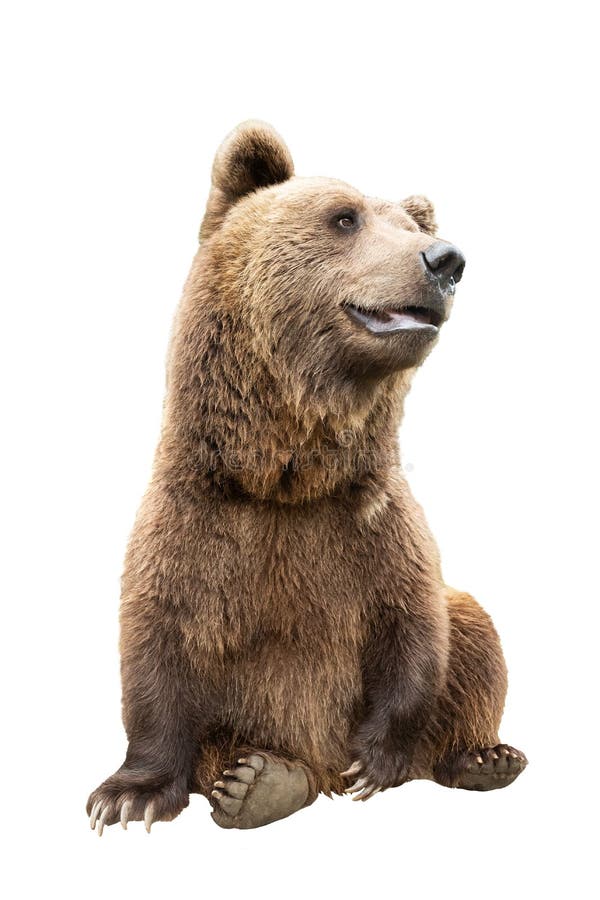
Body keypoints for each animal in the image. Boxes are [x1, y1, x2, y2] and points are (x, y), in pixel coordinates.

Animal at [87, 121, 527, 834]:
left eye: (410, 222)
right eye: (344, 217)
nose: (446, 259)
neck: (287, 477)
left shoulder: (371, 525)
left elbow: (416, 632)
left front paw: (371, 762)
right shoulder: (197, 523)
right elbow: (158, 646)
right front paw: (129, 796)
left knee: (475, 634)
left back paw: (482, 759)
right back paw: (260, 780)